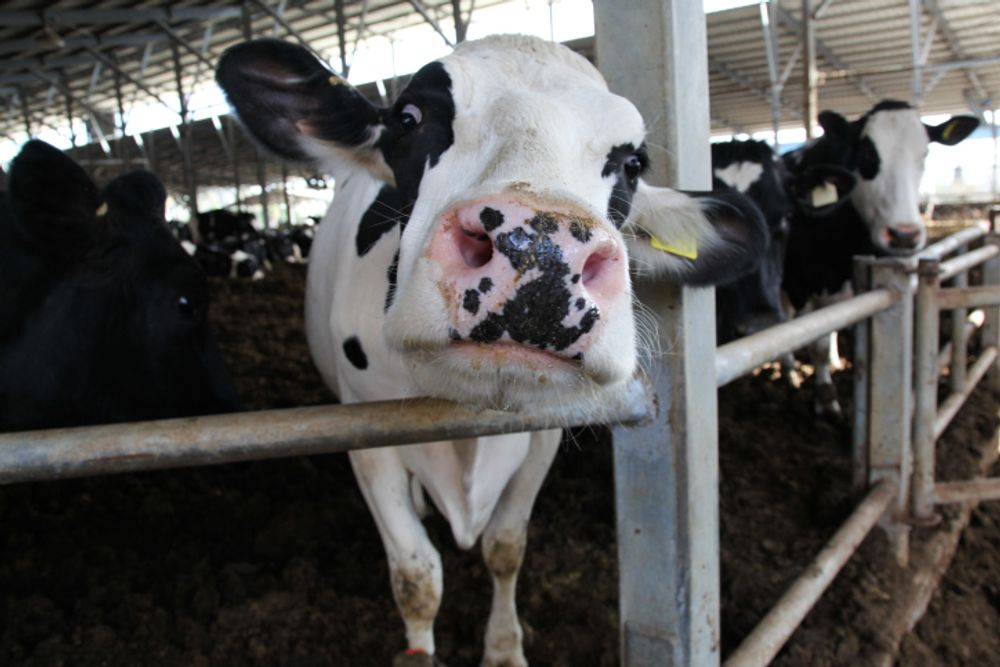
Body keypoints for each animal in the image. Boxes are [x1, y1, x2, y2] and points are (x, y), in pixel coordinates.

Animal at [217, 35, 766, 666]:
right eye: (408, 117)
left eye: (632, 163)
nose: (541, 249)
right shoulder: (360, 427)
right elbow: (417, 576)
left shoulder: (544, 431)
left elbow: (506, 545)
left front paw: (504, 648)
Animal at [782, 100, 979, 413]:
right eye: (866, 154)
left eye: (924, 154)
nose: (904, 236)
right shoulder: (800, 282)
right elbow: (814, 342)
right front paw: (825, 397)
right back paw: (790, 370)